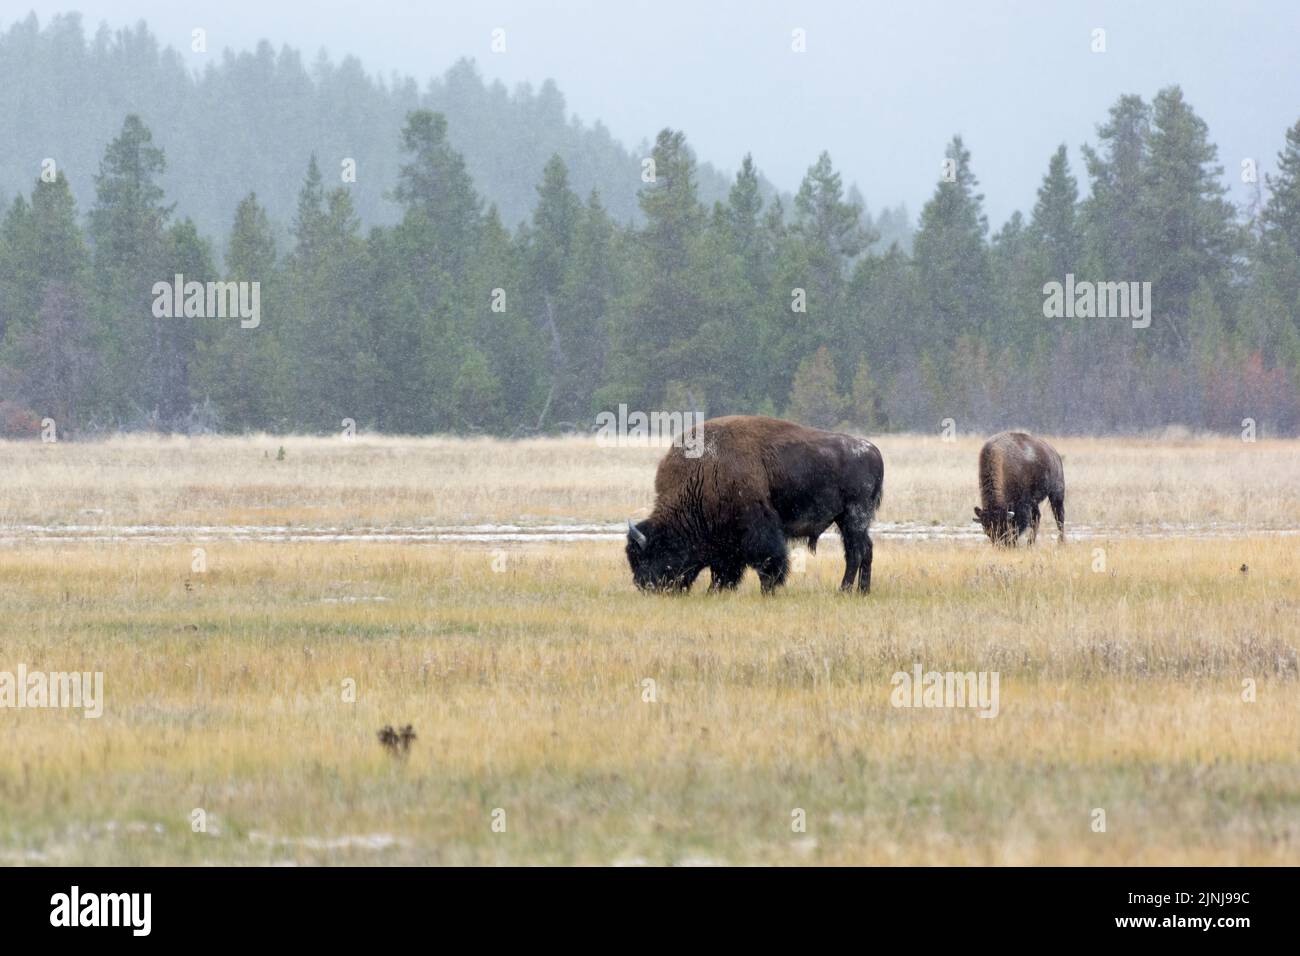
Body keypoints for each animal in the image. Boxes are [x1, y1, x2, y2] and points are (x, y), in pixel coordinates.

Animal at [626, 415, 884, 594]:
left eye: (655, 553)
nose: (644, 585)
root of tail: (873, 450)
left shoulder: (757, 529)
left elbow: (768, 560)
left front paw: (768, 589)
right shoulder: (724, 543)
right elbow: (723, 571)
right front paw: (716, 591)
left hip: (854, 516)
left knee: (856, 552)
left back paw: (844, 590)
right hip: (847, 520)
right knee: (865, 549)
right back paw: (862, 591)